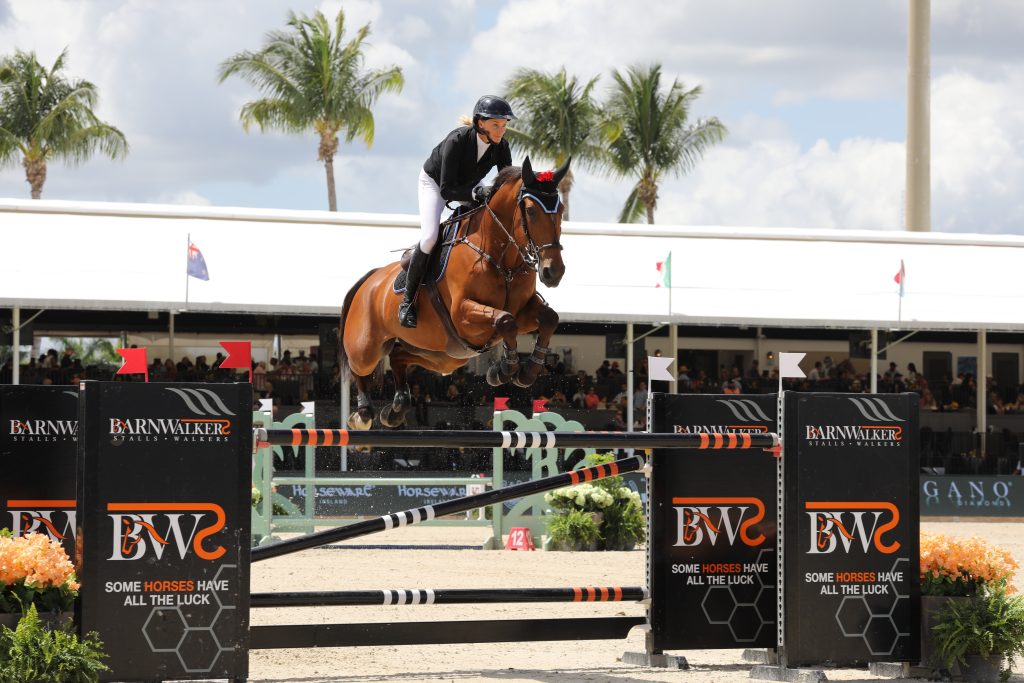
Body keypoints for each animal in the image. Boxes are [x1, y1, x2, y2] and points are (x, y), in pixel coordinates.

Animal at [339, 156, 570, 429]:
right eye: (531, 211)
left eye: (561, 210)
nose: (553, 272)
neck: (502, 259)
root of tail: (369, 280)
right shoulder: (463, 315)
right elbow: (505, 320)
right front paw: (505, 369)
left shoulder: (523, 310)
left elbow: (548, 318)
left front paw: (526, 372)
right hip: (368, 347)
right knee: (359, 367)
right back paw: (363, 413)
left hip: (444, 354)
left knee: (397, 356)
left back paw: (396, 408)